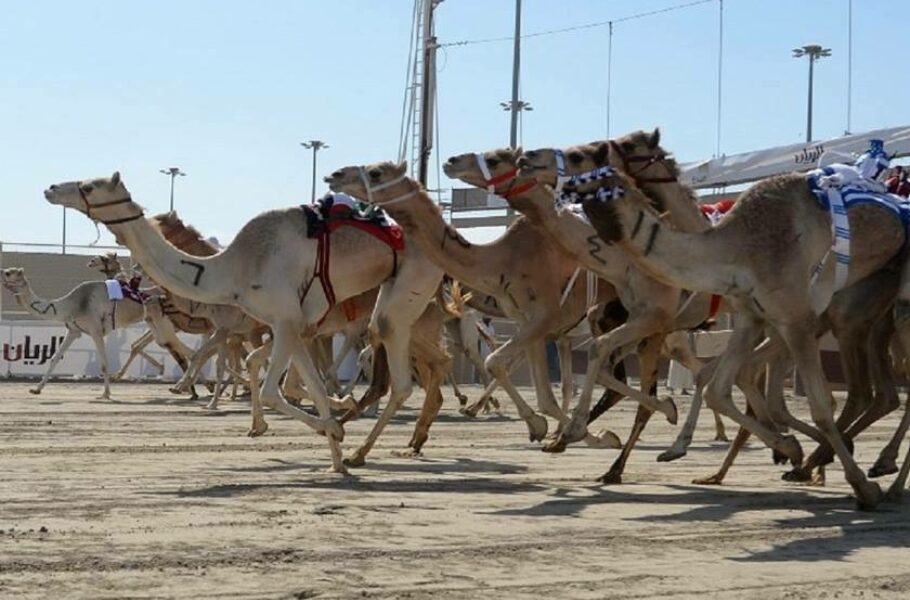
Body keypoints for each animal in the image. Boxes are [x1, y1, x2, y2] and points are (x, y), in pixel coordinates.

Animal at [0, 267, 152, 399]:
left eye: (8, 273)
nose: (1, 271)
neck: (74, 305)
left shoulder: (96, 331)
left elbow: (104, 363)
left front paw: (106, 394)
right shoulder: (73, 331)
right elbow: (55, 358)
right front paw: (36, 389)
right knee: (141, 344)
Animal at [45, 173, 447, 473]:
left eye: (90, 185)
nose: (50, 188)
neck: (233, 269)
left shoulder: (283, 321)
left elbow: (273, 389)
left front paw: (331, 429)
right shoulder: (294, 325)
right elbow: (308, 386)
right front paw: (334, 457)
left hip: (409, 288)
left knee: (402, 373)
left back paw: (370, 446)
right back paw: (375, 443)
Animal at [324, 162, 623, 450]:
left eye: (375, 172)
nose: (334, 176)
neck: (504, 258)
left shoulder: (546, 321)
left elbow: (502, 364)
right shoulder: (541, 326)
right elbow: (538, 385)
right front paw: (548, 428)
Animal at [575, 156, 907, 508]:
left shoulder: (791, 319)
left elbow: (814, 403)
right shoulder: (750, 318)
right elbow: (717, 387)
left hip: (853, 318)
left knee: (865, 391)